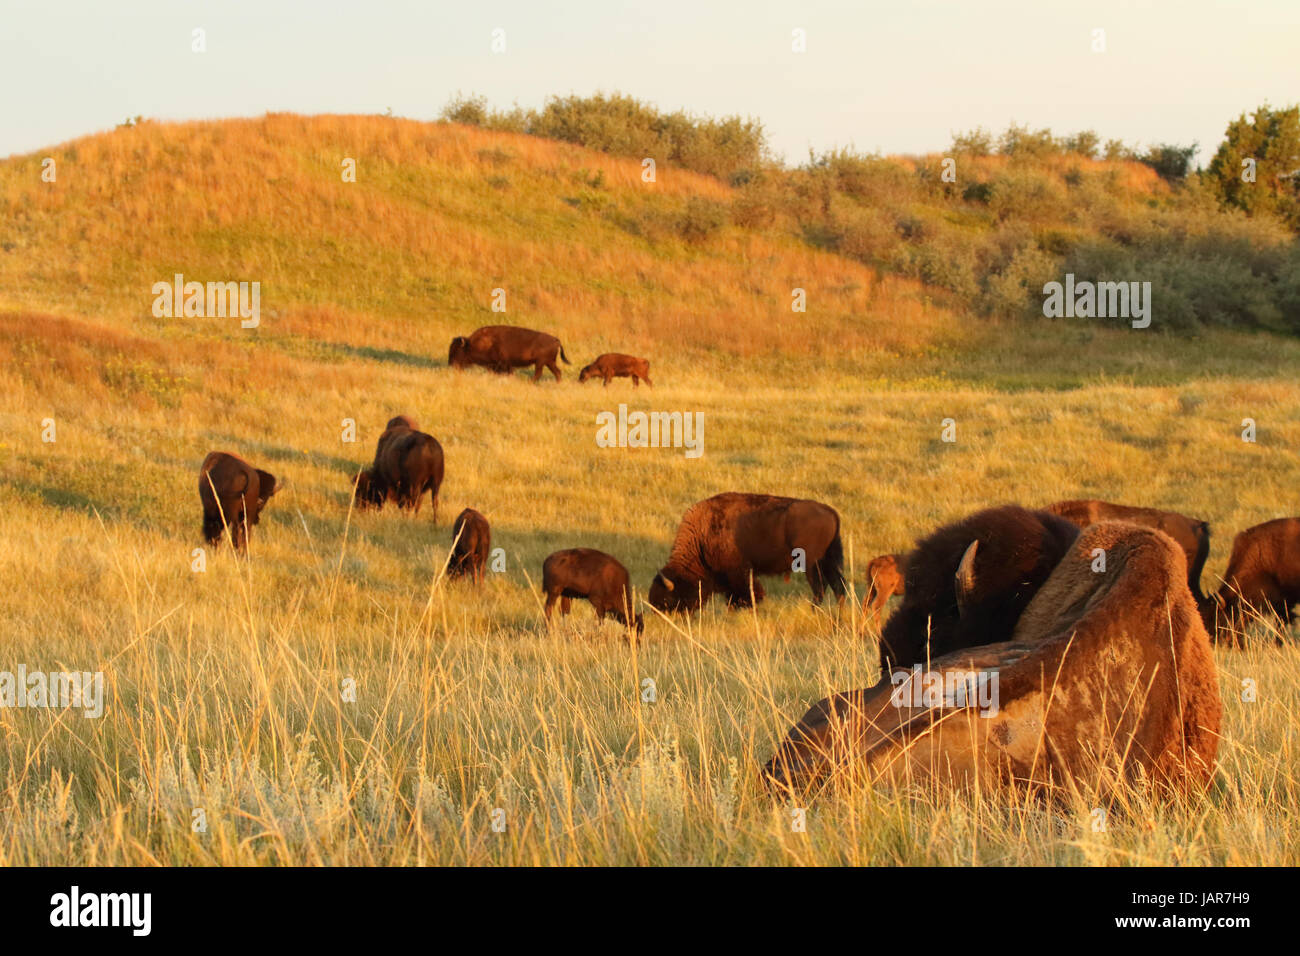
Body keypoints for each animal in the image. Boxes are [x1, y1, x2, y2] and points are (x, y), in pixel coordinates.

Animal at [648, 493, 846, 611]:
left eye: (668, 600)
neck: (701, 536)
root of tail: (830, 511)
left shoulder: (739, 571)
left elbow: (747, 590)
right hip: (829, 561)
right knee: (838, 587)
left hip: (811, 563)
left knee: (821, 587)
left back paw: (813, 611)